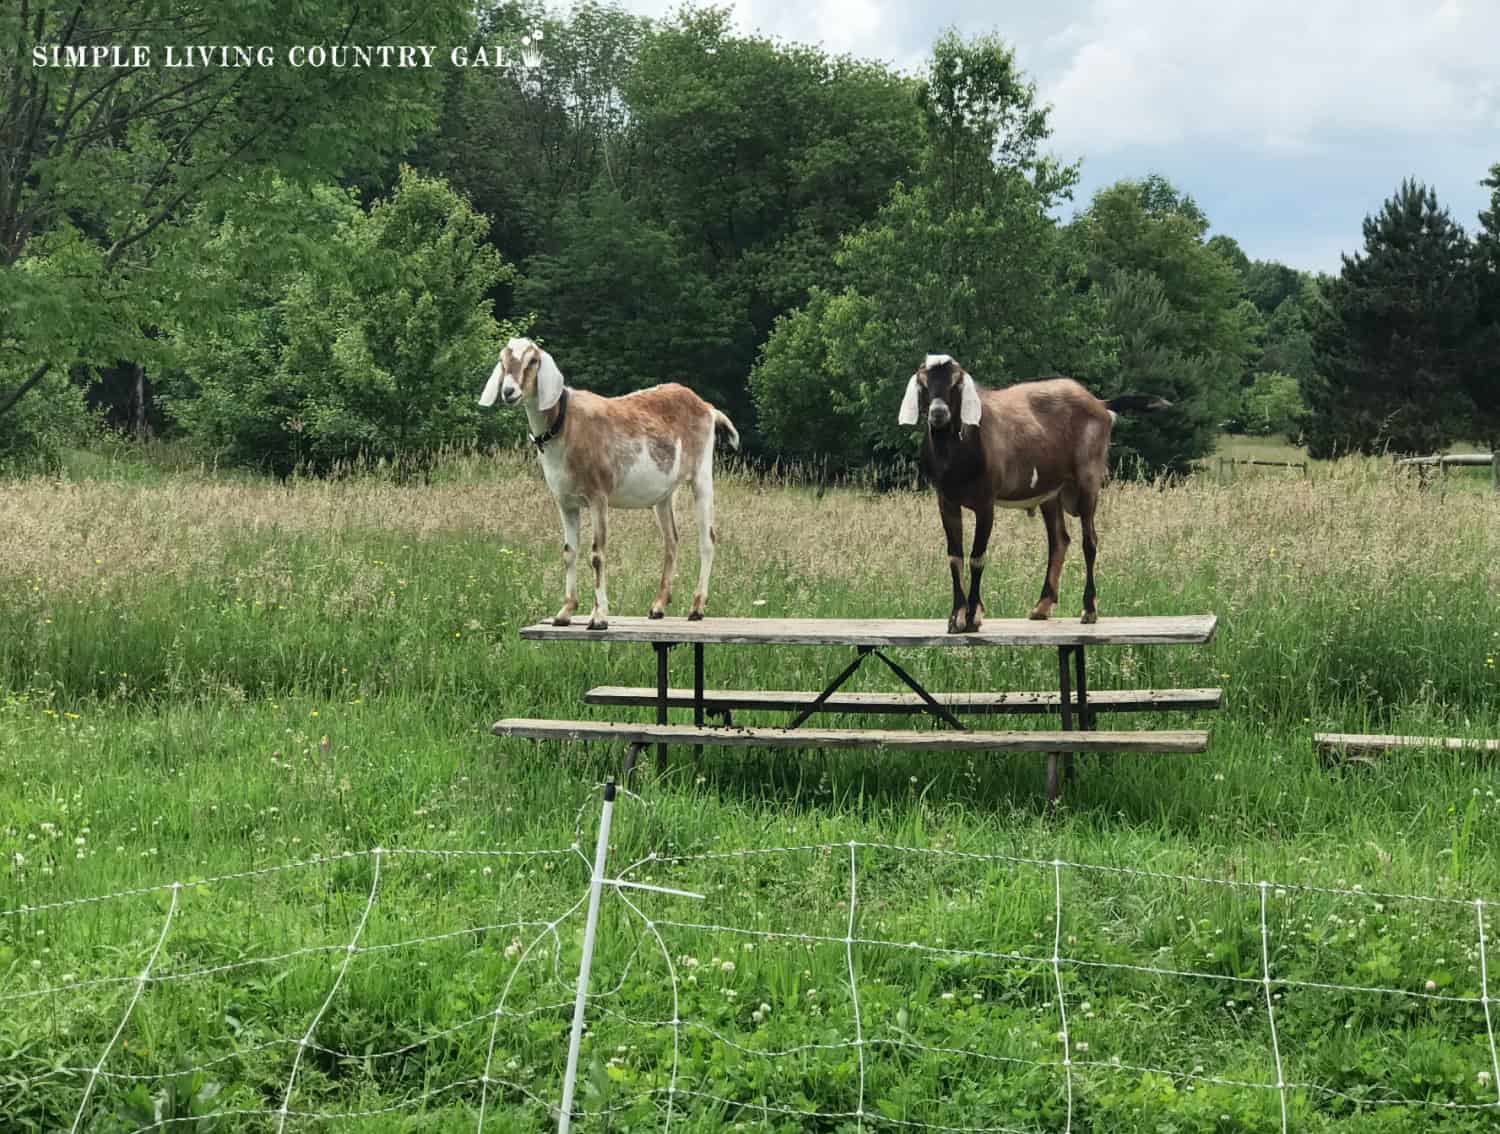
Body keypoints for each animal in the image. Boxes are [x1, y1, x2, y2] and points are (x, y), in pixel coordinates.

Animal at [479, 338, 739, 629]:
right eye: (502, 361)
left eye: (533, 361)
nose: (509, 391)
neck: (566, 423)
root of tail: (707, 407)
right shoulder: (565, 502)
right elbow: (569, 552)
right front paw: (565, 612)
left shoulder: (598, 497)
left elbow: (596, 554)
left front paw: (599, 617)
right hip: (664, 494)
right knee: (671, 540)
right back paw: (658, 606)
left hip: (702, 475)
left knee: (707, 539)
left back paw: (697, 607)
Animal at [898, 354, 1169, 631]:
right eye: (923, 383)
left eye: (955, 383)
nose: (938, 413)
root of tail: (1100, 404)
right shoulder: (946, 501)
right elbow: (955, 557)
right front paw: (956, 618)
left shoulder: (986, 501)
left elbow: (977, 557)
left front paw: (973, 617)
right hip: (1051, 493)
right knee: (1059, 540)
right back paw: (1042, 606)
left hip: (1088, 478)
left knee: (1089, 540)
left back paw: (1089, 609)